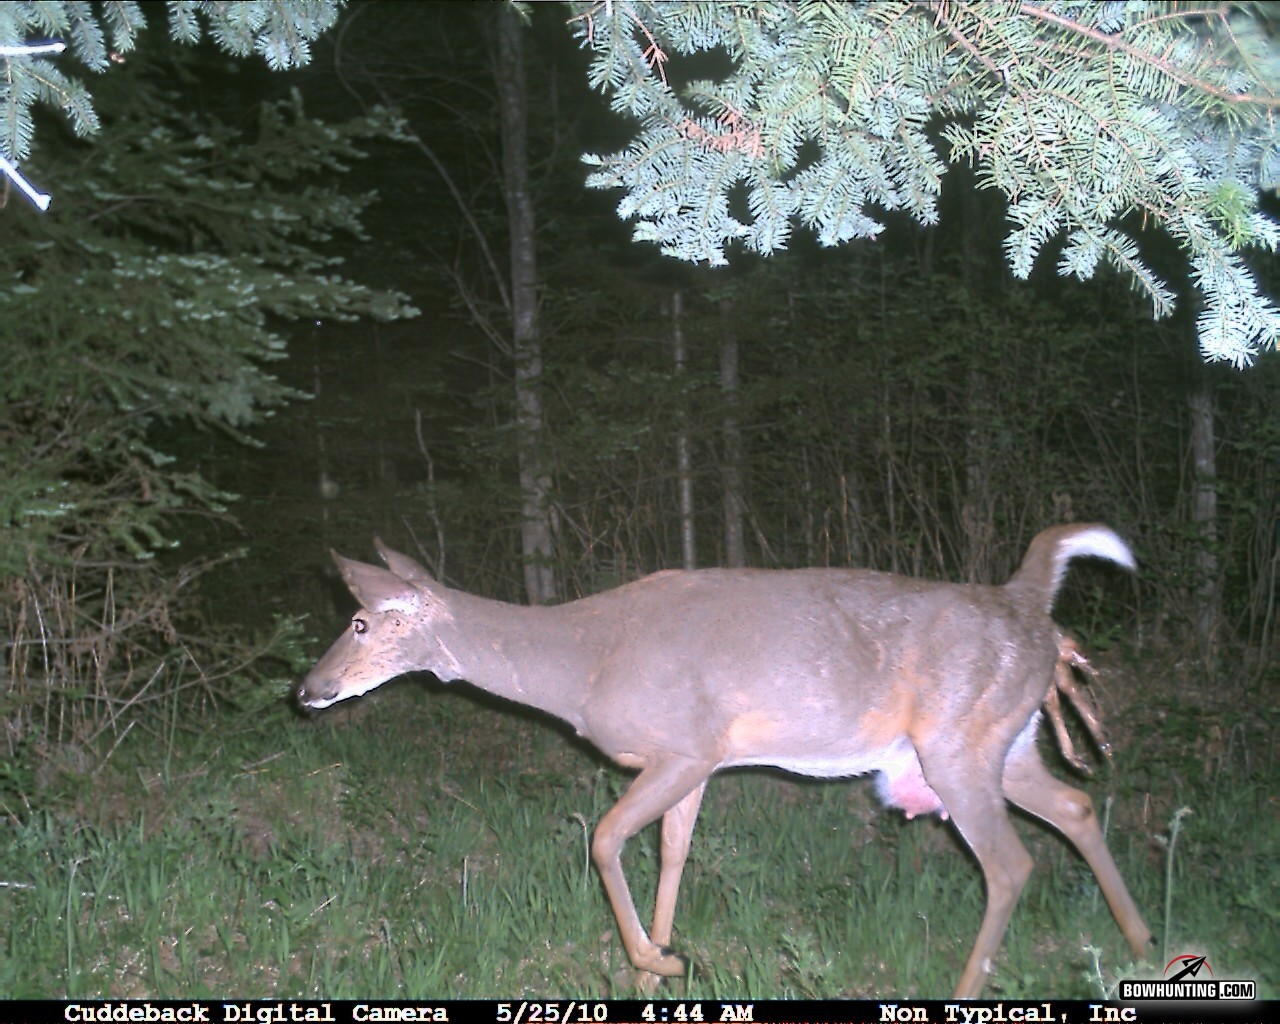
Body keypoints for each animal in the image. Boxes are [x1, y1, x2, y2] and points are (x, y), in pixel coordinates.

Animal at [297, 522, 1153, 997]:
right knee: (1077, 807)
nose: (307, 688)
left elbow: (605, 839)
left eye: (361, 621)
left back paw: (966, 985)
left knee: (1010, 863)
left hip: (958, 742)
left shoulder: (685, 745)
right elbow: (671, 852)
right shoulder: (697, 759)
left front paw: (661, 962)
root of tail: (1033, 608)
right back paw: (1143, 943)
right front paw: (649, 970)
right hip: (1003, 740)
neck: (581, 666)